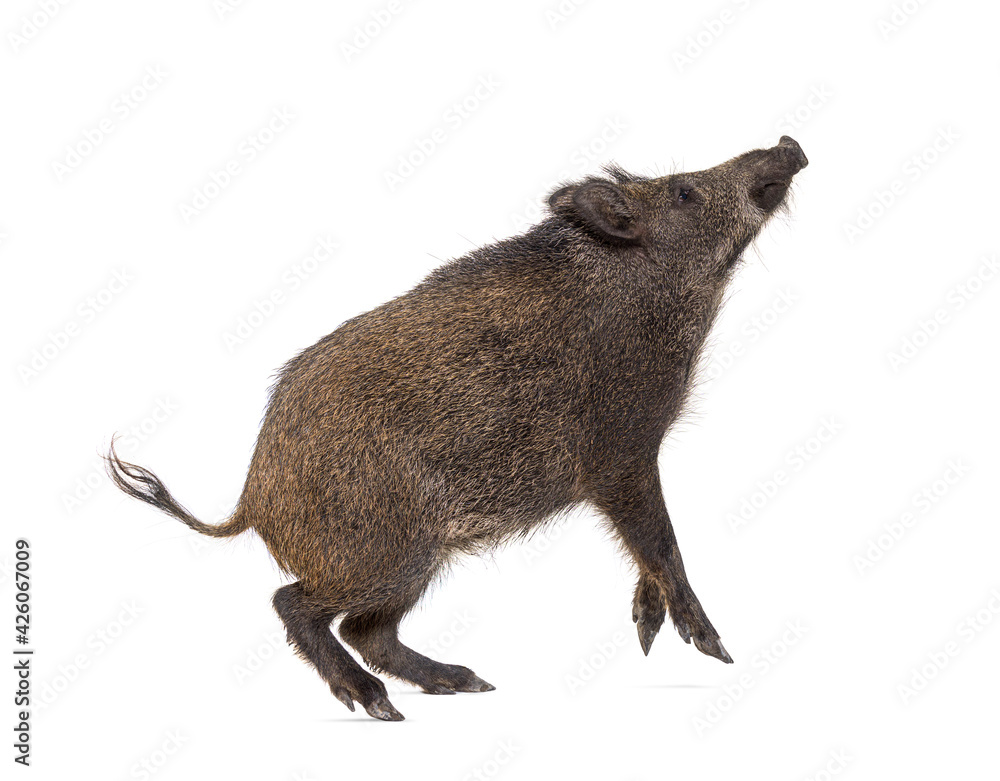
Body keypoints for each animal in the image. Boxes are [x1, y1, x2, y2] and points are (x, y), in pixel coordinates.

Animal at [107, 136, 808, 721]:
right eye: (684, 191)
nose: (788, 144)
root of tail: (250, 501)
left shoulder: (631, 461)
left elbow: (647, 548)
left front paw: (646, 632)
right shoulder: (618, 452)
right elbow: (660, 540)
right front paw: (716, 649)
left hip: (412, 560)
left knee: (366, 631)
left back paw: (464, 683)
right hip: (387, 553)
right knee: (297, 605)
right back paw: (378, 704)